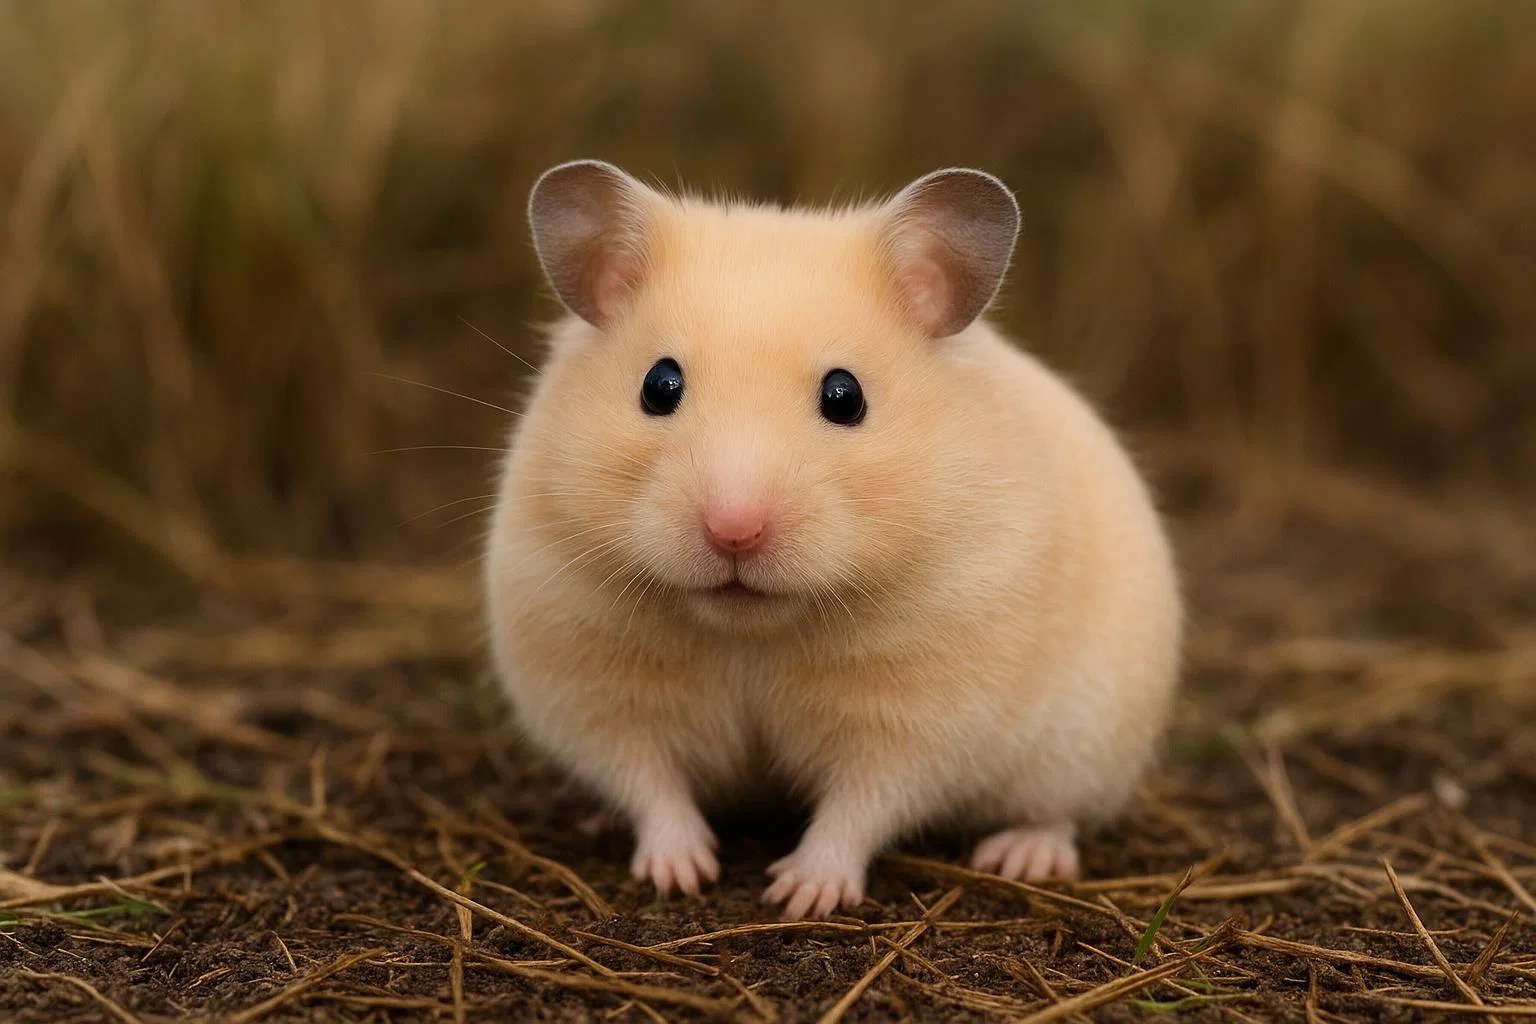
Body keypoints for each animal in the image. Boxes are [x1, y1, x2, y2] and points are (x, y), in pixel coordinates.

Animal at [483, 160, 1181, 920]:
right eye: (659, 385)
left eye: (845, 397)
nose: (734, 529)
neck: (750, 632)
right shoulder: (599, 690)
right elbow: (652, 785)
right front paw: (680, 874)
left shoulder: (918, 717)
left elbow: (860, 807)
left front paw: (801, 895)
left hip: (1085, 747)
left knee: (1057, 814)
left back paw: (1021, 856)